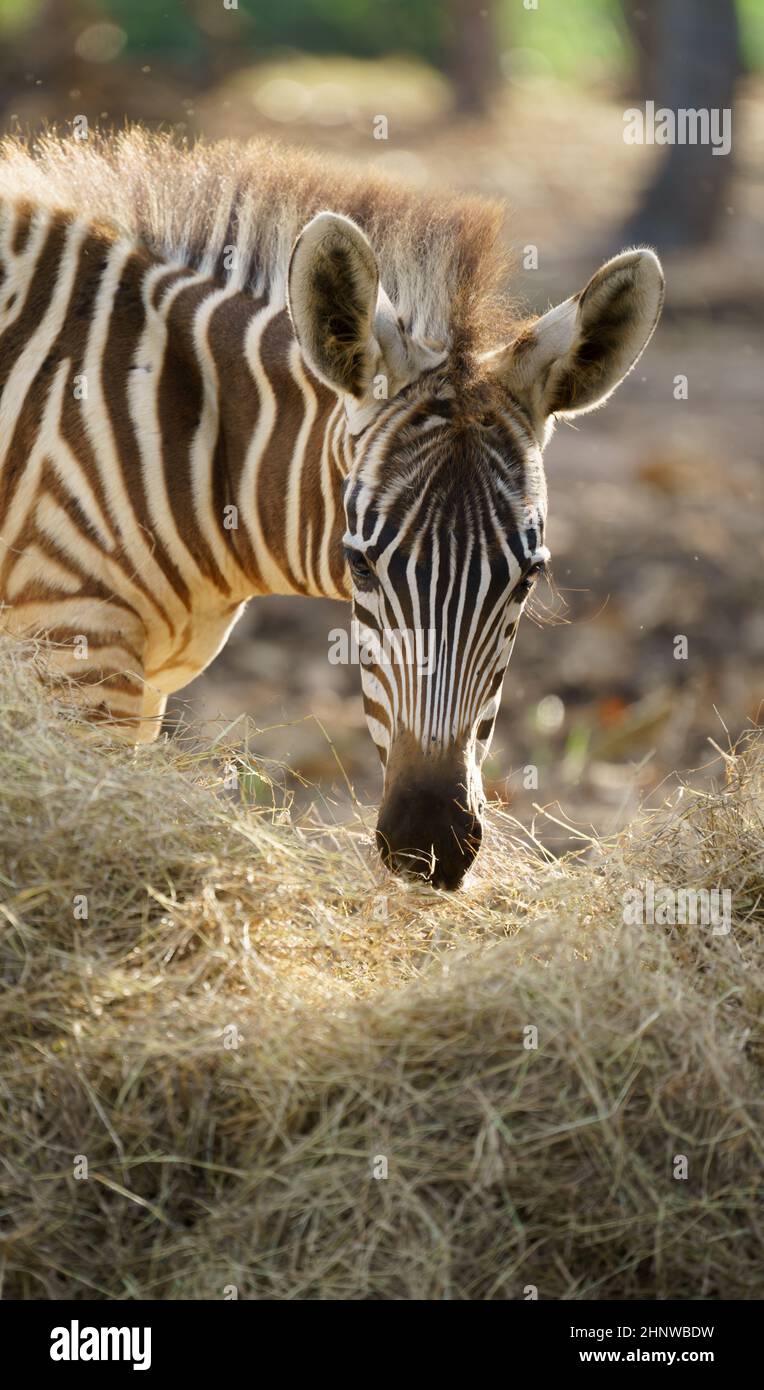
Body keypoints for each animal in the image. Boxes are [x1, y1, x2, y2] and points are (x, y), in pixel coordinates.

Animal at [0, 131, 663, 889]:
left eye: (529, 579)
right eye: (361, 565)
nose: (430, 842)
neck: (183, 429)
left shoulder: (142, 683)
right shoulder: (74, 646)